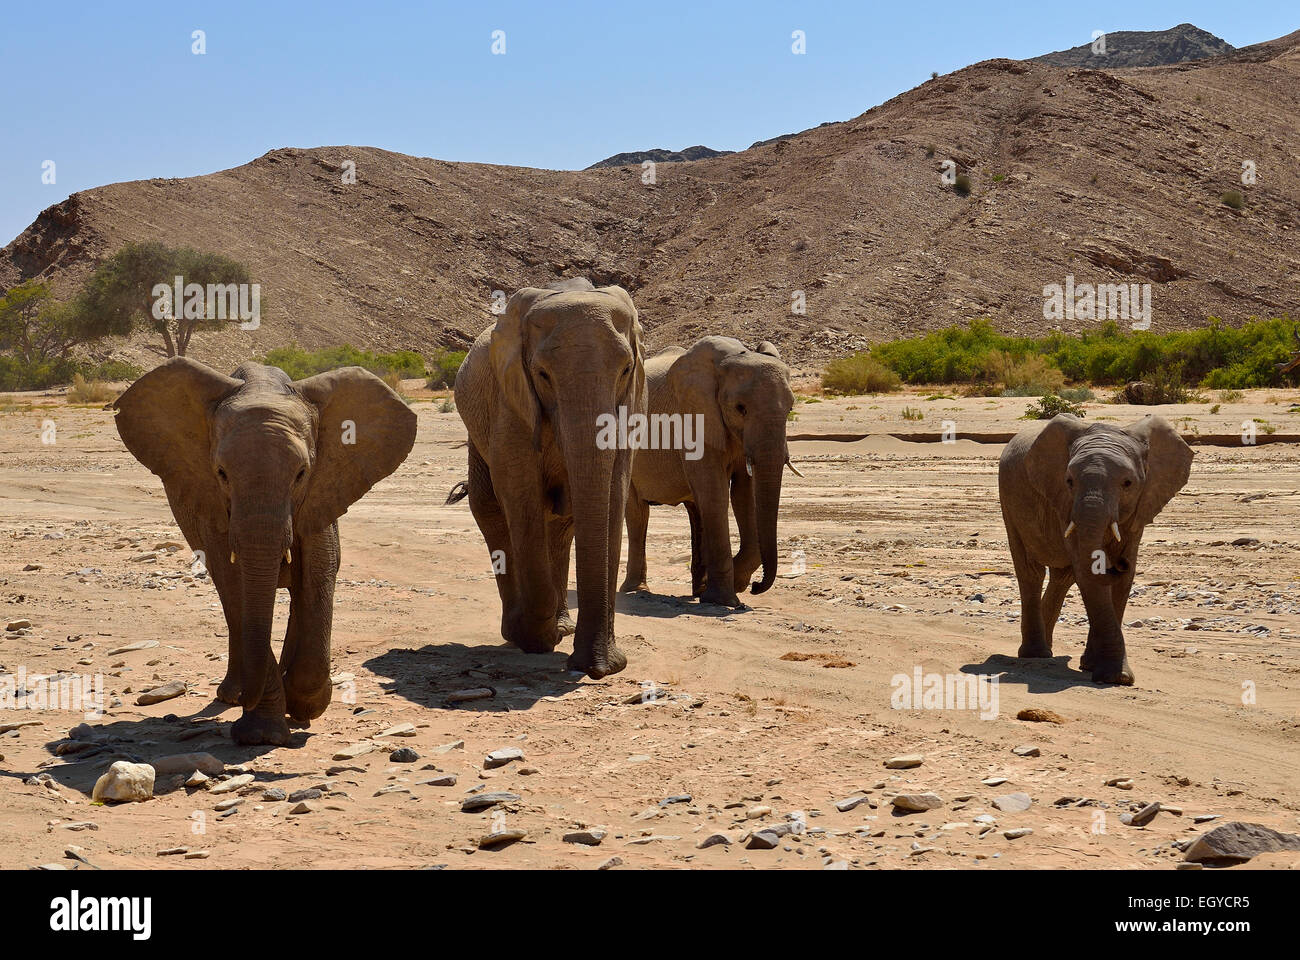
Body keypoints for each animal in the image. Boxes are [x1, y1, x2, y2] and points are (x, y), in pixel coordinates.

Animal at [113, 358, 416, 745]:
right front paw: (262, 733)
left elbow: (319, 574)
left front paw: (302, 707)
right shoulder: (211, 502)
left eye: (301, 473)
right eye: (221, 473)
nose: (249, 699)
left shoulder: (323, 489)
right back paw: (233, 694)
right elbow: (236, 584)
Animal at [451, 278, 646, 678]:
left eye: (625, 370)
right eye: (542, 375)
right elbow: (520, 493)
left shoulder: (630, 404)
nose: (596, 670)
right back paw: (519, 630)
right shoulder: (510, 402)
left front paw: (599, 661)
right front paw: (535, 639)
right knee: (491, 509)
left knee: (560, 524)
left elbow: (613, 491)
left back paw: (561, 626)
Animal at [619, 336, 799, 608]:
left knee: (695, 511)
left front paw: (733, 585)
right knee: (638, 513)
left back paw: (698, 589)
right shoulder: (692, 417)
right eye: (740, 408)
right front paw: (724, 599)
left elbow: (744, 494)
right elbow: (715, 494)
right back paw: (636, 590)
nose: (756, 587)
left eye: (790, 409)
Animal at [998, 413, 1193, 685]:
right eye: (1069, 481)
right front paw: (1115, 677)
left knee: (1063, 577)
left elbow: (1122, 580)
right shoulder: (1064, 501)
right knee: (1031, 572)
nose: (1119, 563)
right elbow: (1088, 572)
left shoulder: (1142, 505)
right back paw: (1036, 654)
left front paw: (1096, 669)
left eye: (1127, 483)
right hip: (1008, 501)